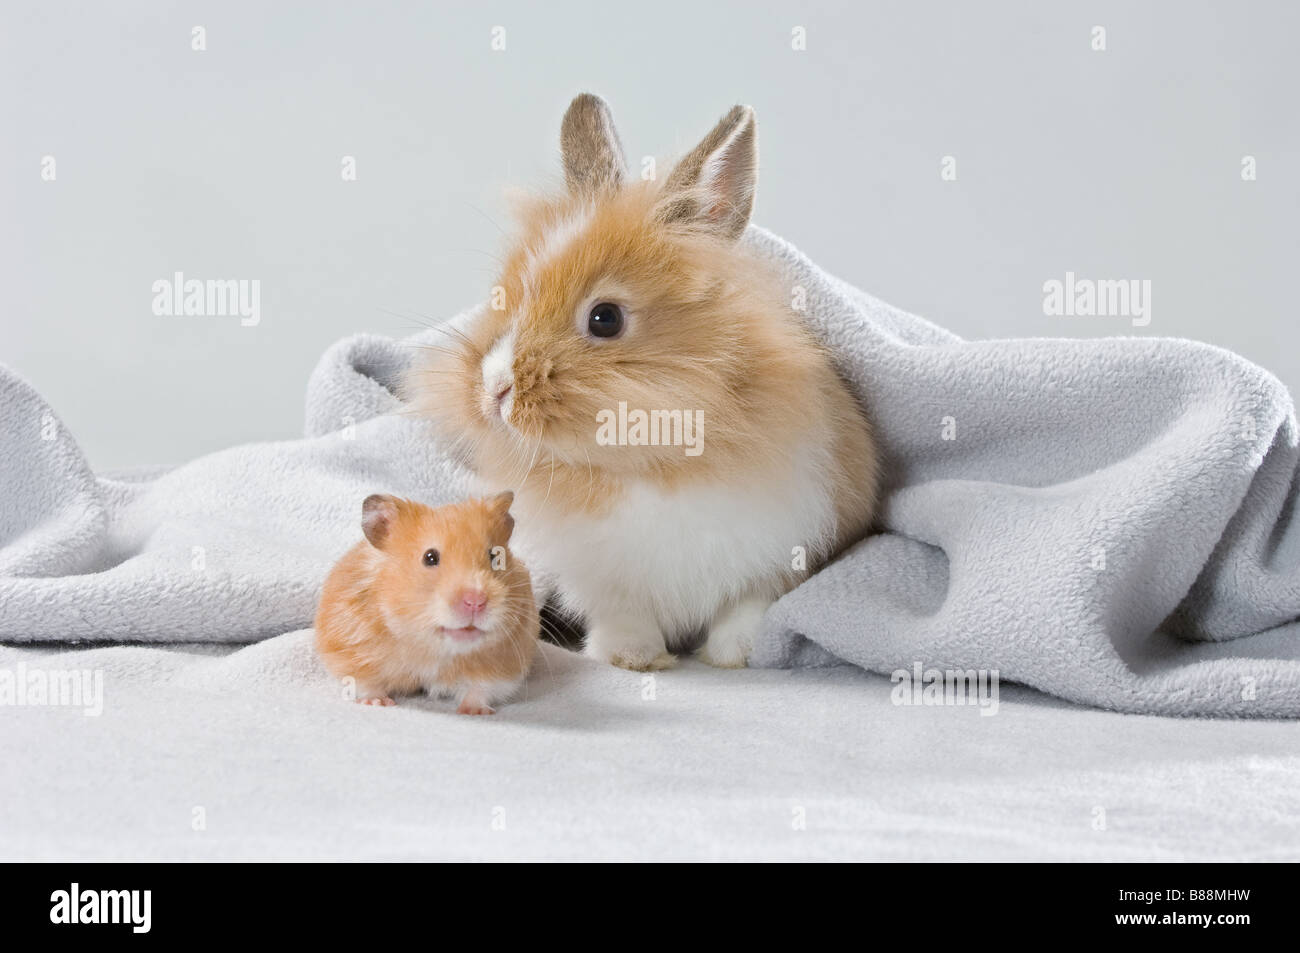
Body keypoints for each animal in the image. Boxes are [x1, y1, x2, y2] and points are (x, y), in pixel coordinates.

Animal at [314, 492, 538, 715]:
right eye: (430, 557)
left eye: (495, 556)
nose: (475, 601)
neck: (432, 647)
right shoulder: (351, 650)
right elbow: (366, 683)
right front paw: (377, 703)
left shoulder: (504, 662)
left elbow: (480, 688)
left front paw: (474, 712)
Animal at [405, 94, 879, 672]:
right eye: (503, 297)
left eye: (605, 318)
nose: (495, 388)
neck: (652, 467)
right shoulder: (602, 578)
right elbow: (625, 615)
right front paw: (632, 658)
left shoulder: (778, 547)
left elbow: (745, 605)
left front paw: (735, 655)